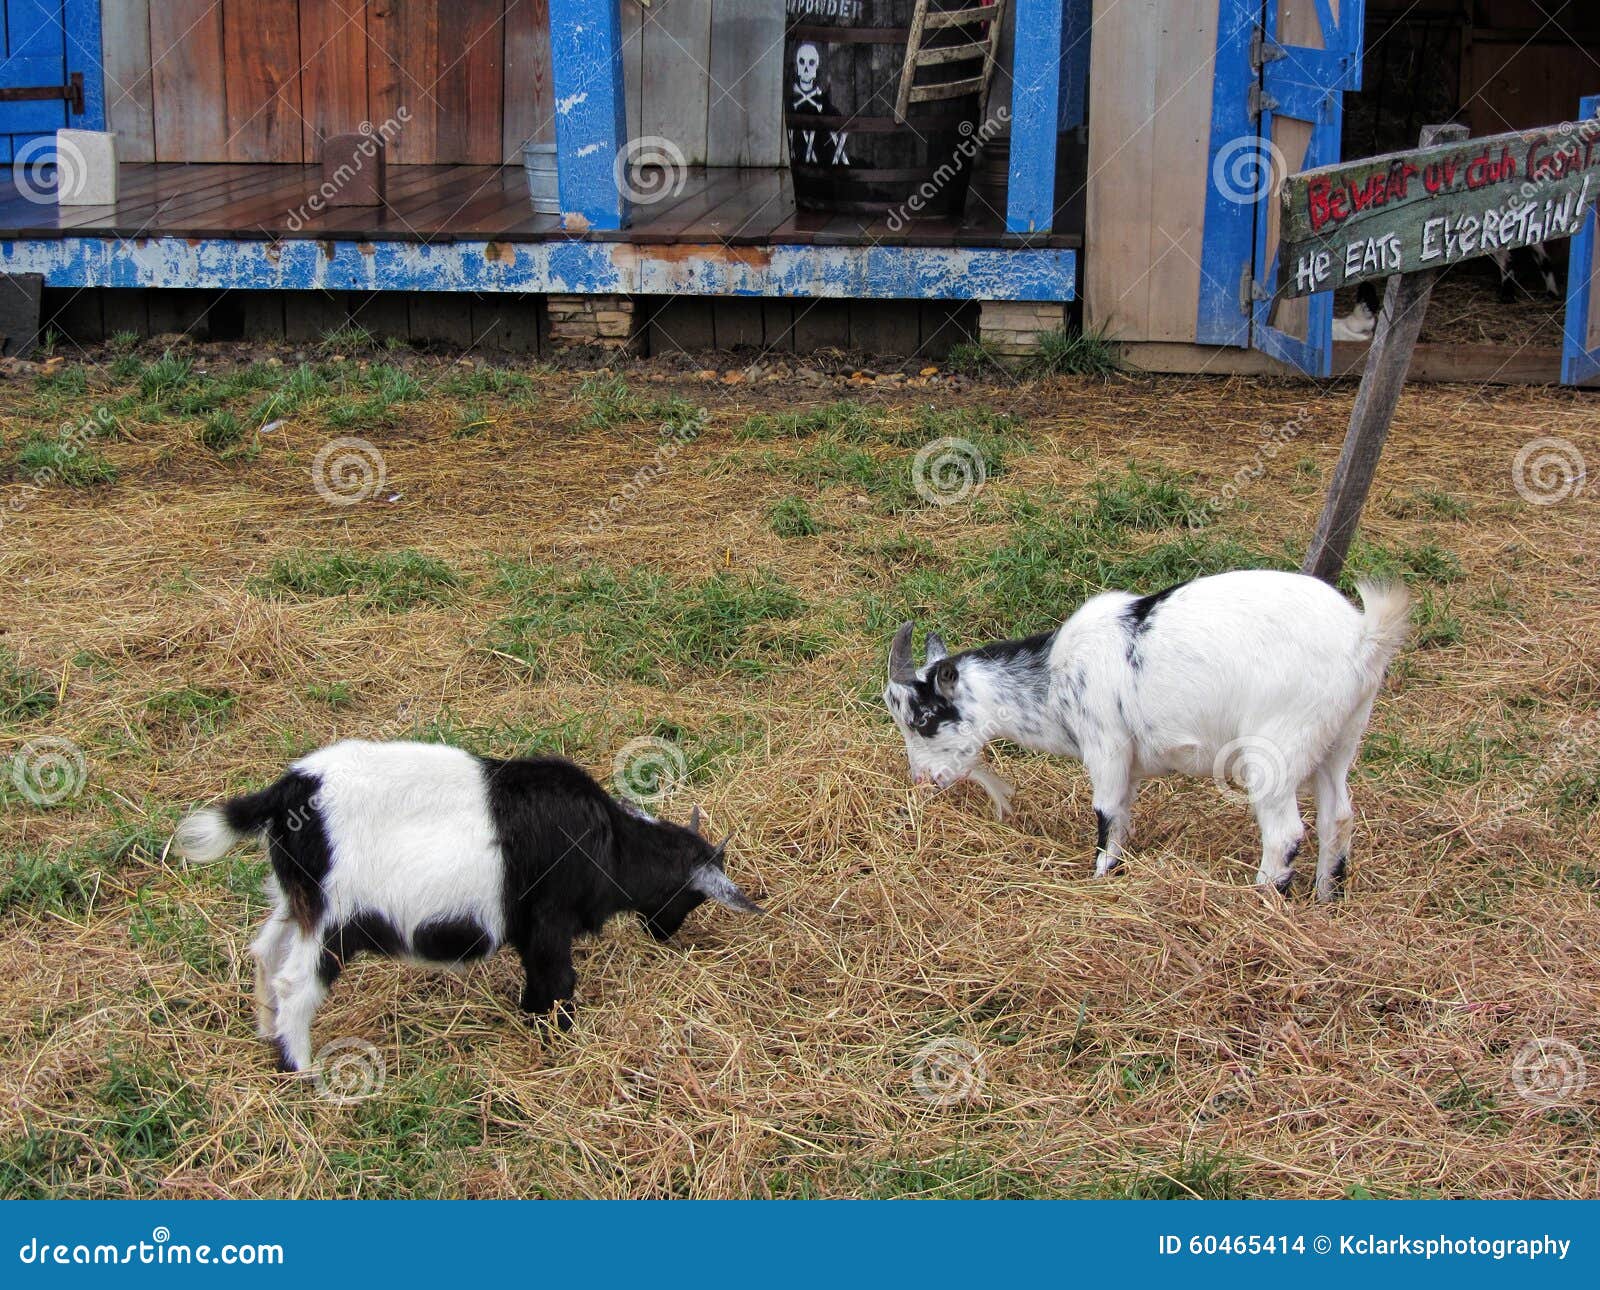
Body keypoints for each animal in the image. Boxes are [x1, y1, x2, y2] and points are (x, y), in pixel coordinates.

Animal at [173, 740, 763, 1072]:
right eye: (692, 896)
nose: (664, 933)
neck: (610, 843)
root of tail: (289, 792)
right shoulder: (548, 917)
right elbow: (556, 979)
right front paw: (553, 1035)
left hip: (295, 899)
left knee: (265, 951)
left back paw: (266, 1031)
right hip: (335, 918)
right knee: (296, 983)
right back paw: (300, 1068)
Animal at [883, 571, 1409, 902]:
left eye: (922, 719)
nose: (922, 780)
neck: (1054, 680)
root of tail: (1363, 639)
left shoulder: (1107, 746)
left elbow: (1106, 814)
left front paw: (1098, 880)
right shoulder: (1131, 763)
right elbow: (1123, 818)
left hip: (1278, 746)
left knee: (1284, 833)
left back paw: (1260, 900)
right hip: (1339, 741)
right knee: (1338, 817)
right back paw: (1325, 900)